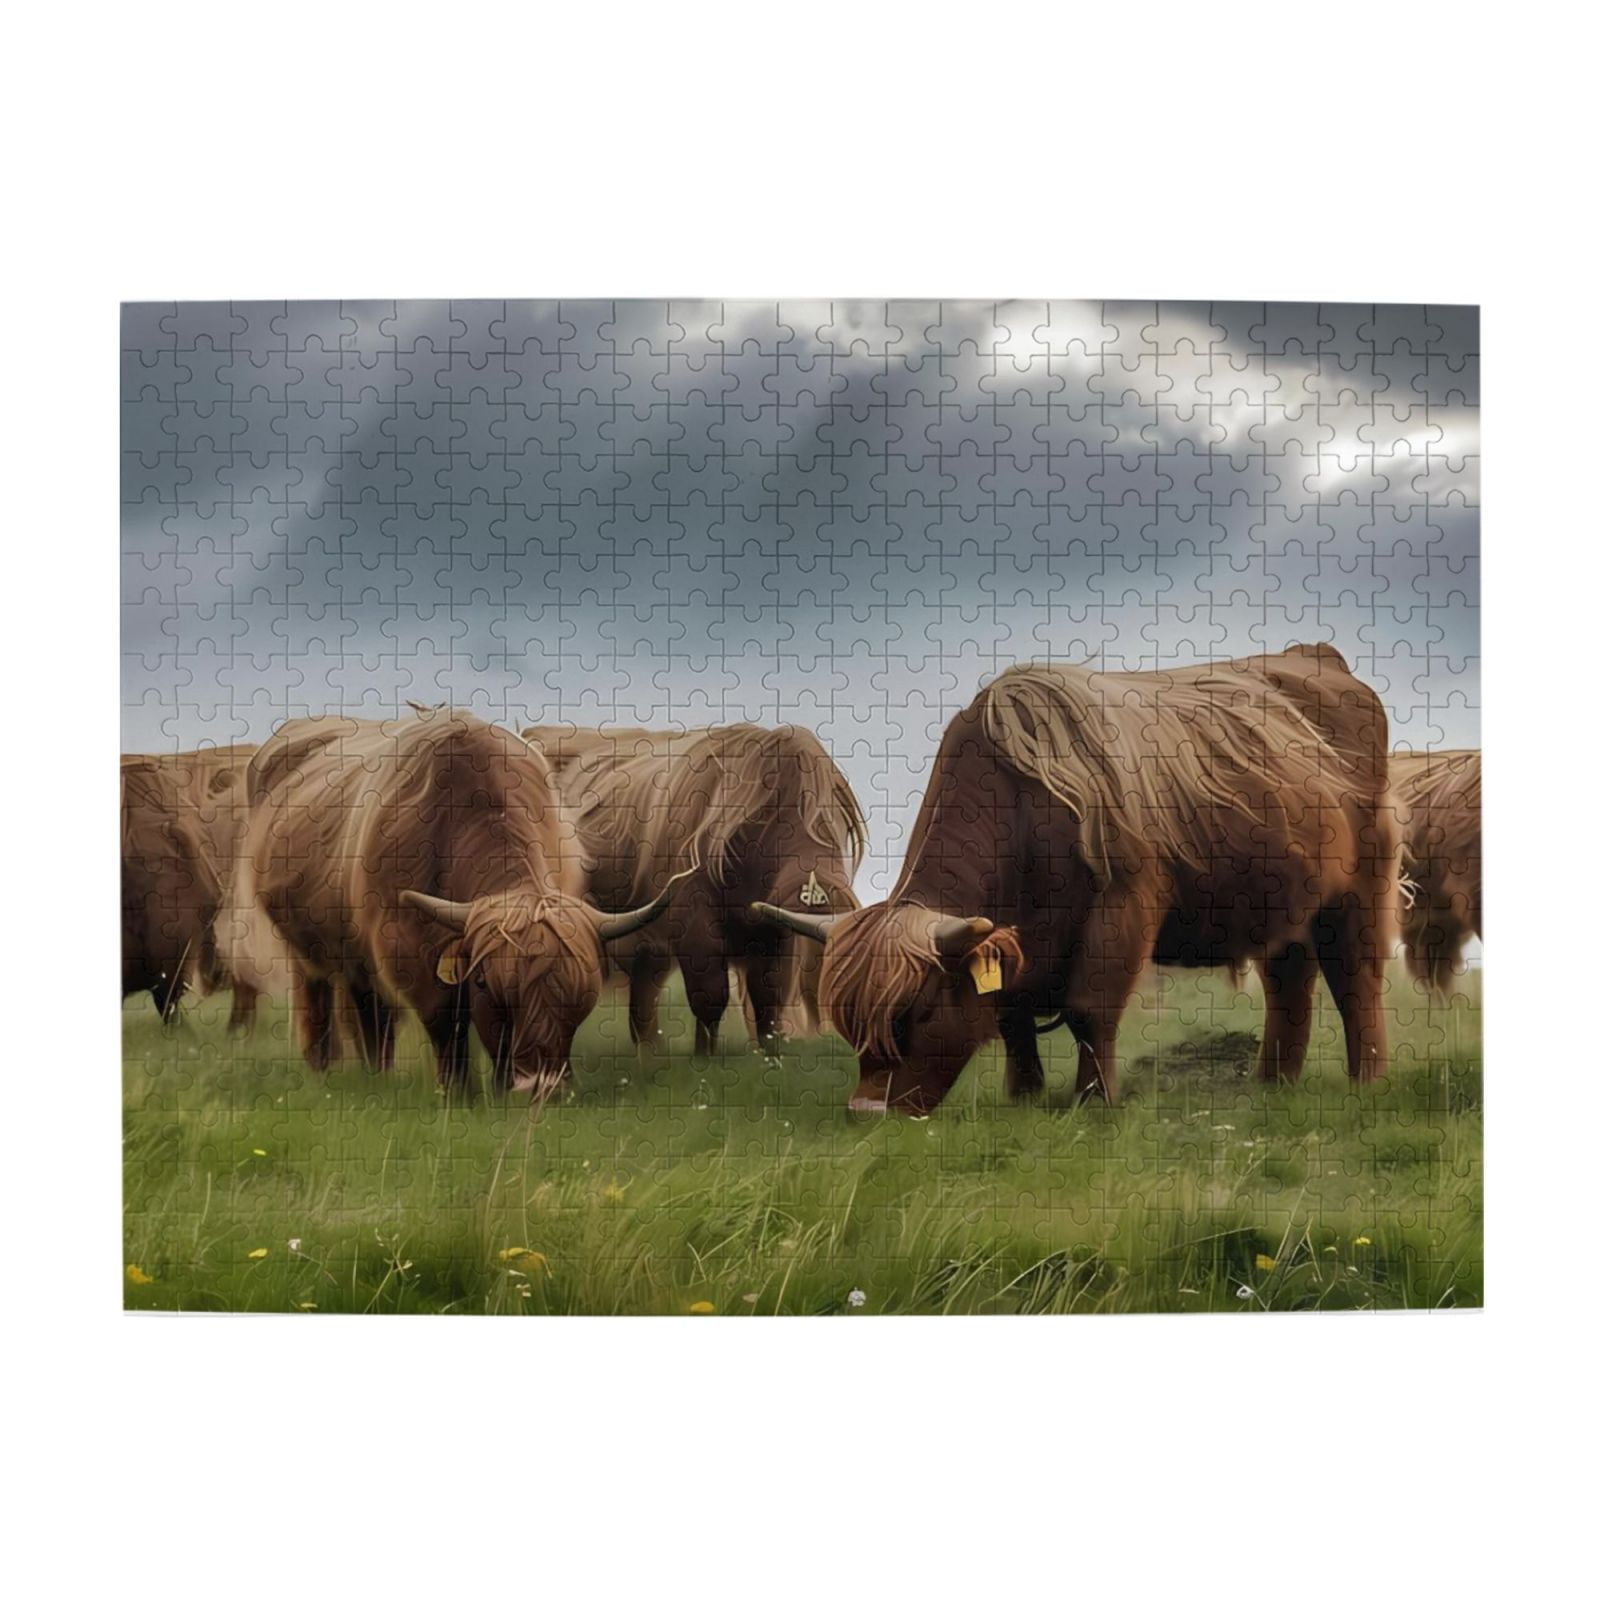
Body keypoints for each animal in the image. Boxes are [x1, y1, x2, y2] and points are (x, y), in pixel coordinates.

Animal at [225, 709, 680, 1094]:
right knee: (322, 996)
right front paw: (457, 1090)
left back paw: (377, 1070)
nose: (539, 1086)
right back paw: (325, 1066)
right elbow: (445, 1017)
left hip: (353, 949)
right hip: (306, 947)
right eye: (486, 985)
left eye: (582, 996)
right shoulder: (405, 946)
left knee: (368, 1005)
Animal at [536, 722, 867, 1056]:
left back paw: (651, 1054)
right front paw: (705, 1055)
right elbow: (710, 993)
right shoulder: (693, 918)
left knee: (645, 991)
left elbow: (768, 997)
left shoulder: (775, 934)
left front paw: (769, 1054)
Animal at [753, 645, 1400, 1114]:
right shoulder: (1012, 941)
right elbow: (1011, 1016)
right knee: (1289, 983)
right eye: (848, 1024)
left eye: (923, 1012)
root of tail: (1314, 657)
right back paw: (1273, 1083)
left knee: (1356, 981)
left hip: (1359, 893)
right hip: (1286, 904)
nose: (867, 1110)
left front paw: (1093, 1101)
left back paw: (1366, 1081)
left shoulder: (1126, 905)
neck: (1024, 807)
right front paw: (1024, 1096)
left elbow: (1091, 1009)